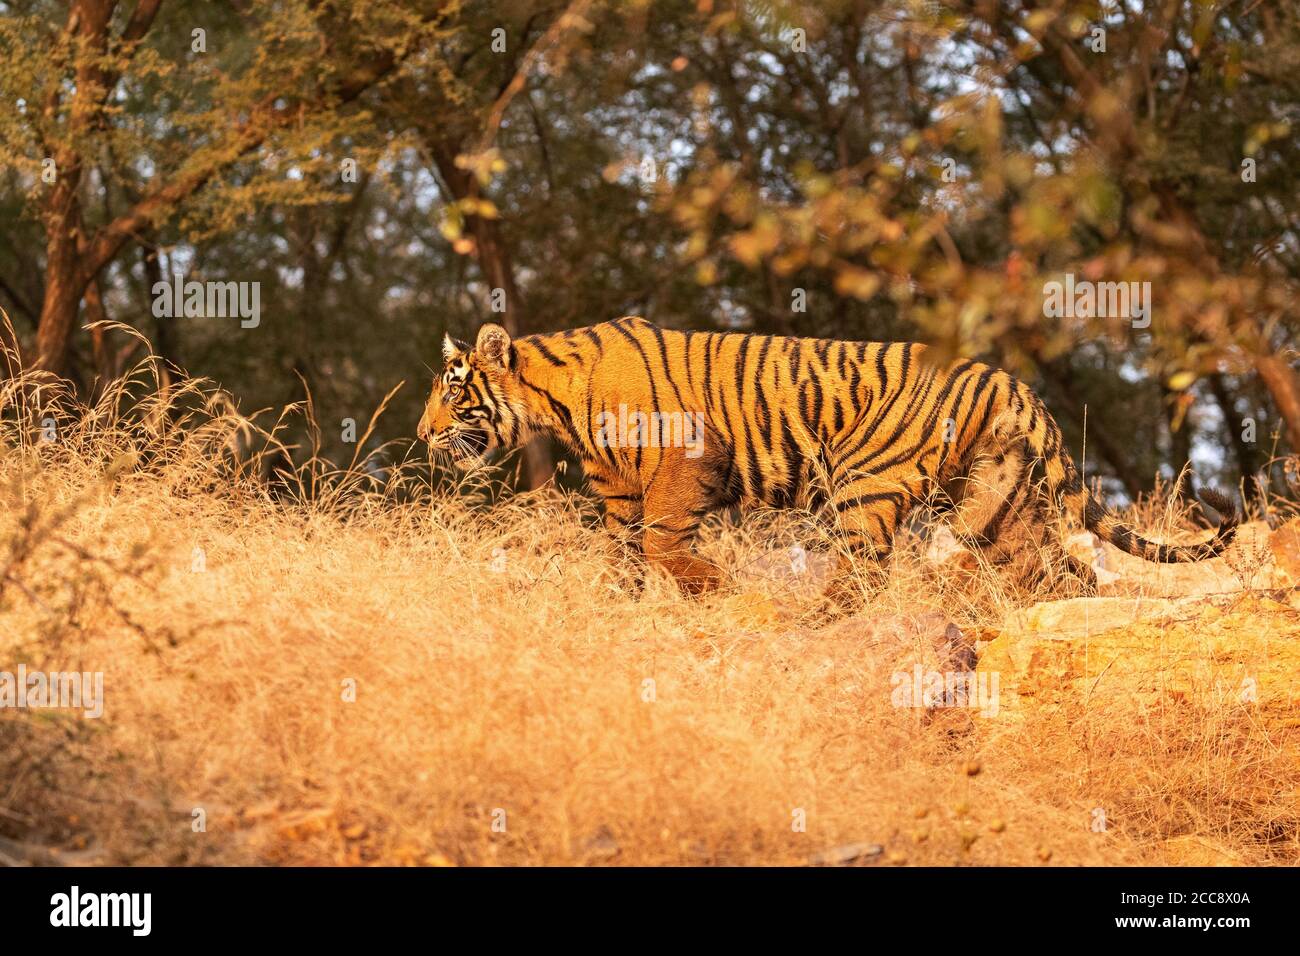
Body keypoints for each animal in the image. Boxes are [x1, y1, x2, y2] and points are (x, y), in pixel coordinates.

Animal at [417, 316, 1238, 600]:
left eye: (453, 393)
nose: (423, 434)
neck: (553, 399)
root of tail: (1011, 382)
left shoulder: (681, 461)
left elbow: (664, 543)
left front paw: (712, 589)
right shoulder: (618, 494)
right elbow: (623, 558)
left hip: (863, 485)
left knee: (862, 577)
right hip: (996, 508)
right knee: (1054, 570)